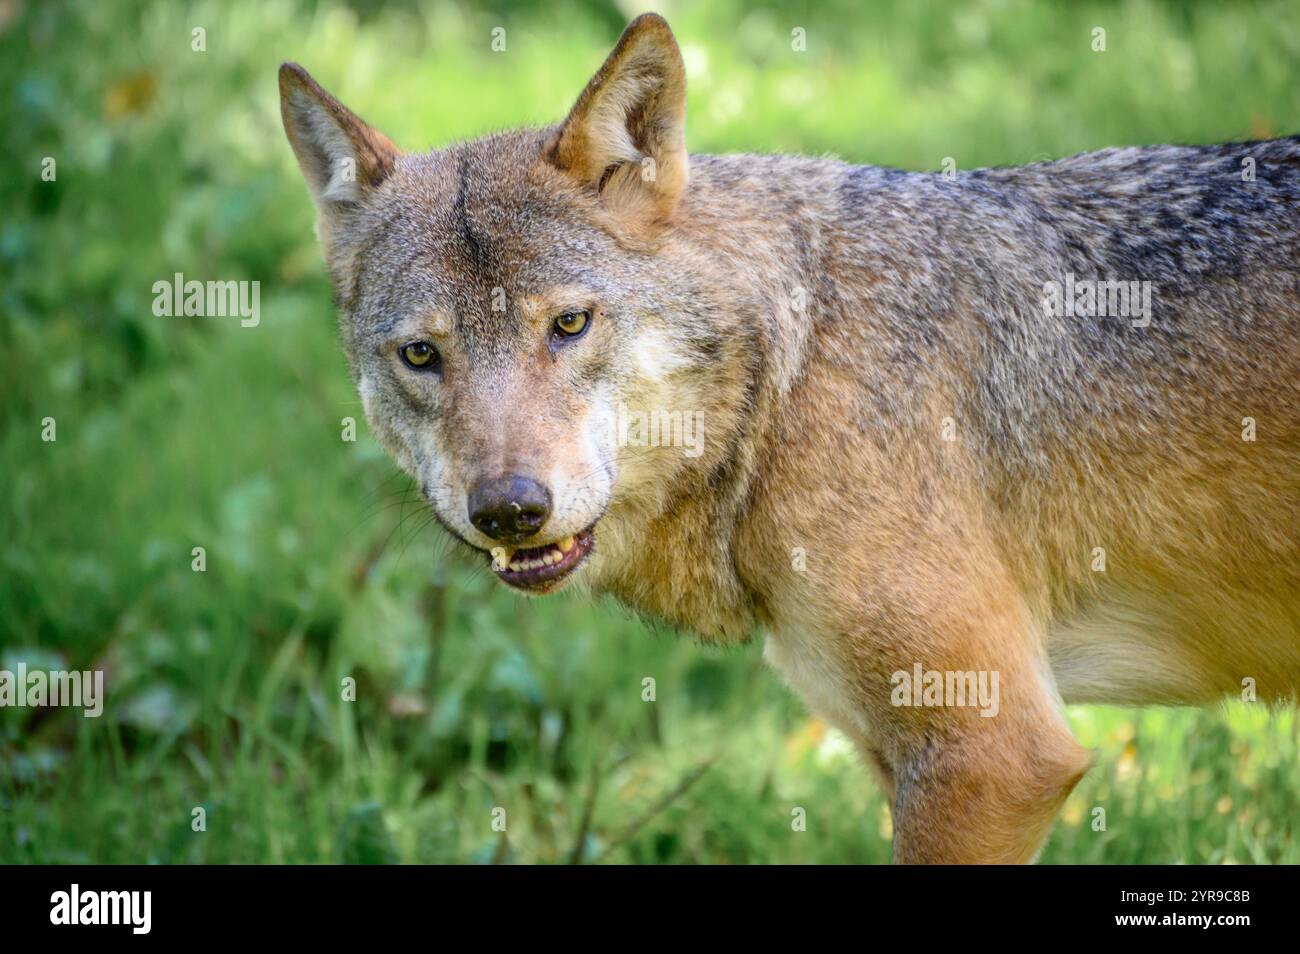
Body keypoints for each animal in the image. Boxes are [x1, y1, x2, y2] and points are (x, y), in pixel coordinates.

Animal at [281, 13, 1300, 863]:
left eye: (568, 325)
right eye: (422, 355)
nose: (508, 512)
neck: (790, 377)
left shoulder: (991, 755)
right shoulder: (899, 754)